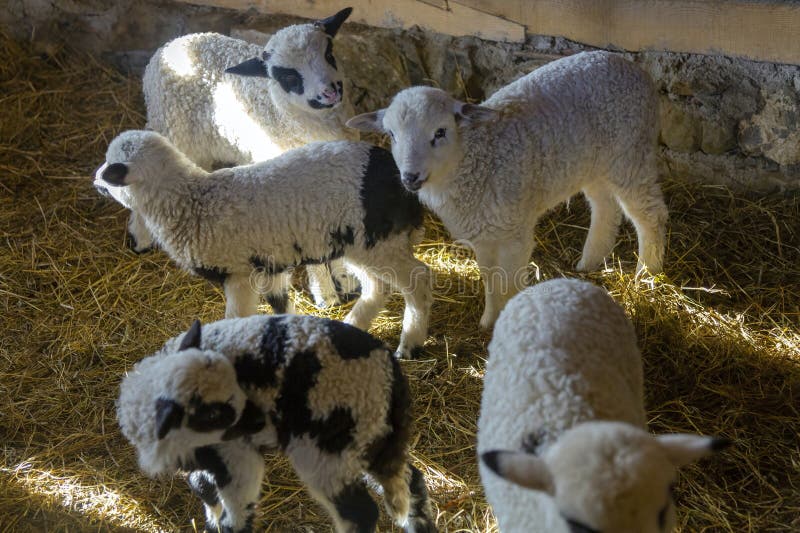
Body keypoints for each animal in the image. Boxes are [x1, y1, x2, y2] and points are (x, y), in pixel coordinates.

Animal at [93, 130, 432, 359]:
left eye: (111, 169)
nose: (95, 181)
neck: (192, 203)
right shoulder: (269, 267)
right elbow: (281, 305)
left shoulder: (238, 274)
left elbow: (236, 319)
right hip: (359, 244)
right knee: (378, 286)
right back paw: (354, 326)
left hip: (376, 240)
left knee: (418, 278)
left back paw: (409, 344)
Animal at [117, 316, 438, 533]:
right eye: (210, 415)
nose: (259, 420)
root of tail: (389, 373)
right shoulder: (209, 458)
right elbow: (202, 487)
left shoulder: (236, 457)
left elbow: (236, 514)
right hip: (373, 440)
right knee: (411, 482)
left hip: (328, 450)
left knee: (360, 513)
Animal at [129, 7, 359, 308]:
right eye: (288, 77)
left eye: (329, 53)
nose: (330, 91)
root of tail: (173, 43)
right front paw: (326, 294)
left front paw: (346, 282)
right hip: (170, 129)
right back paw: (140, 239)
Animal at [347, 51, 669, 329]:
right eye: (391, 135)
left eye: (440, 132)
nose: (411, 177)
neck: (475, 157)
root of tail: (630, 65)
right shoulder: (484, 235)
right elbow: (491, 280)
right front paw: (489, 320)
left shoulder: (515, 233)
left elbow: (511, 282)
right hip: (593, 164)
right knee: (605, 206)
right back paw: (591, 260)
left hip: (630, 155)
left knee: (650, 214)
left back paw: (647, 274)